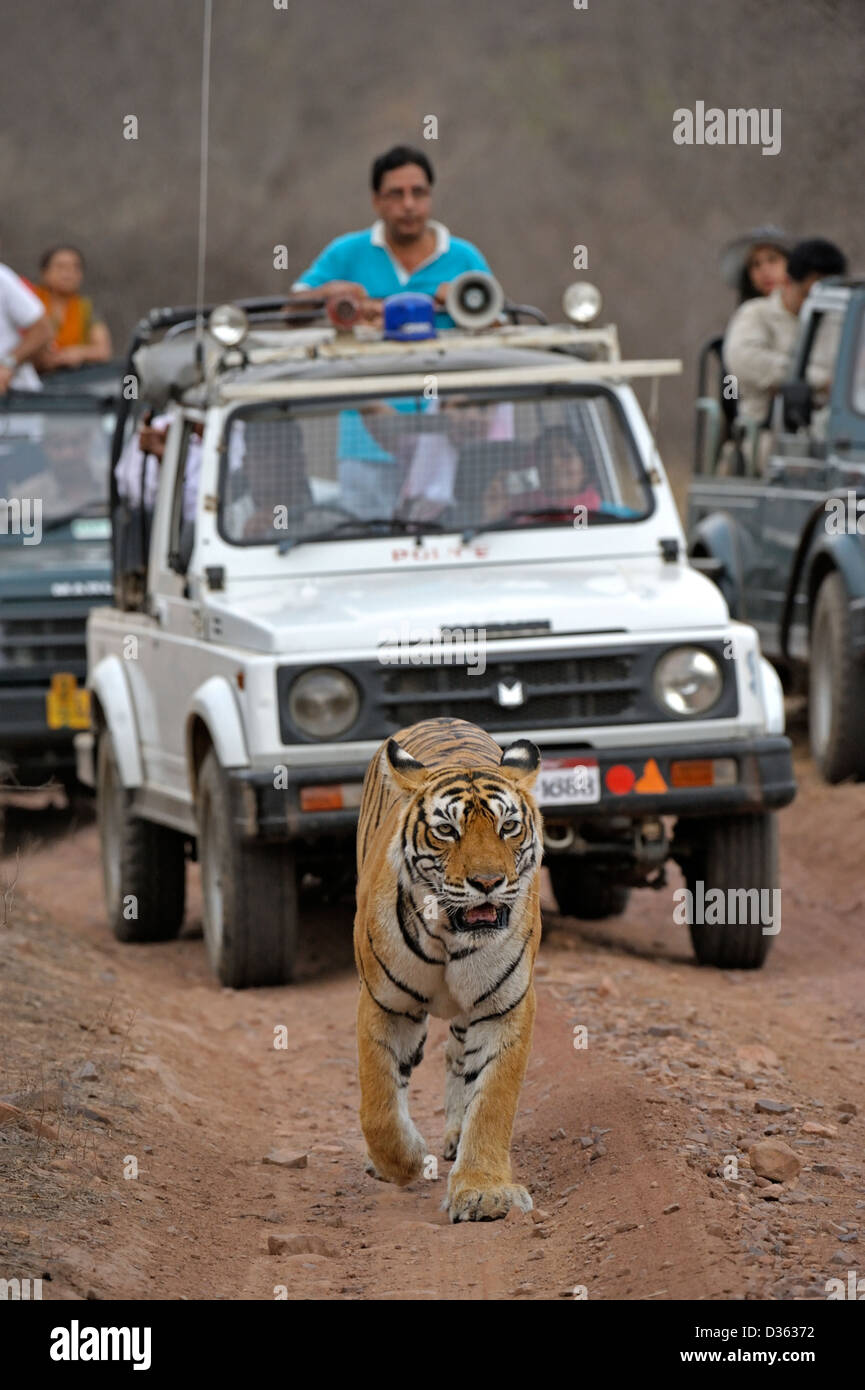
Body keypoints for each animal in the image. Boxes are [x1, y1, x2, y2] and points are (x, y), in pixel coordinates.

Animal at [353, 715, 543, 1223]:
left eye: (508, 827)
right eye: (446, 830)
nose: (487, 882)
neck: (449, 936)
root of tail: (443, 717)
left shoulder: (503, 1007)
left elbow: (492, 1101)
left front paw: (483, 1191)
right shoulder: (386, 1004)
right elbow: (379, 1104)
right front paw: (405, 1162)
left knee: (457, 1059)